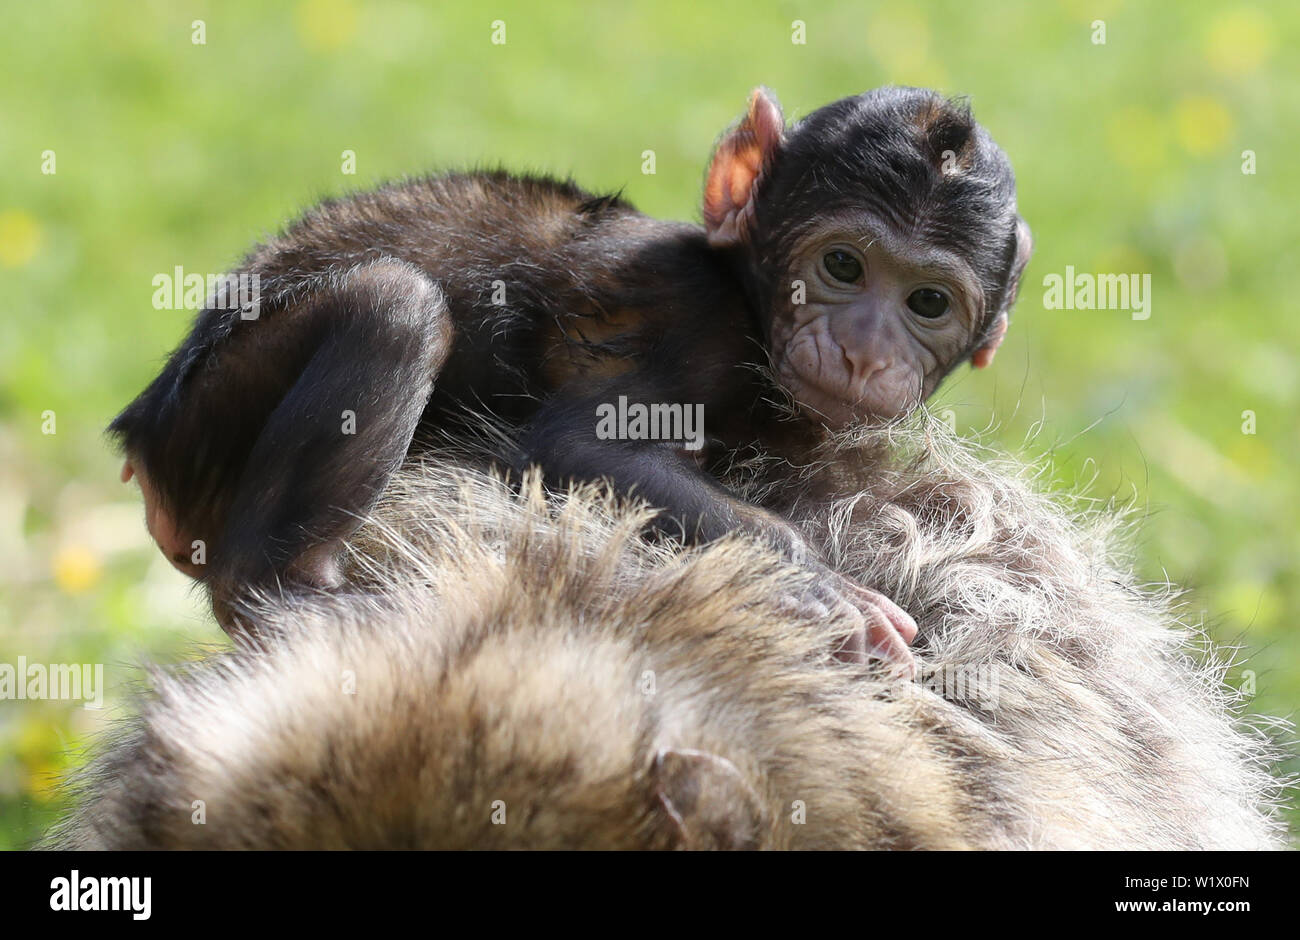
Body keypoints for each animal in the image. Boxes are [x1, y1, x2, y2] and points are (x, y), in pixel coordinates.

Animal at [110, 85, 1032, 670]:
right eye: (842, 265)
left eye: (926, 301)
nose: (865, 348)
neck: (747, 298)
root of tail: (145, 443)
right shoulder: (694, 324)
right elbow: (582, 448)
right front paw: (822, 588)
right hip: (210, 413)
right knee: (394, 305)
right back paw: (284, 592)